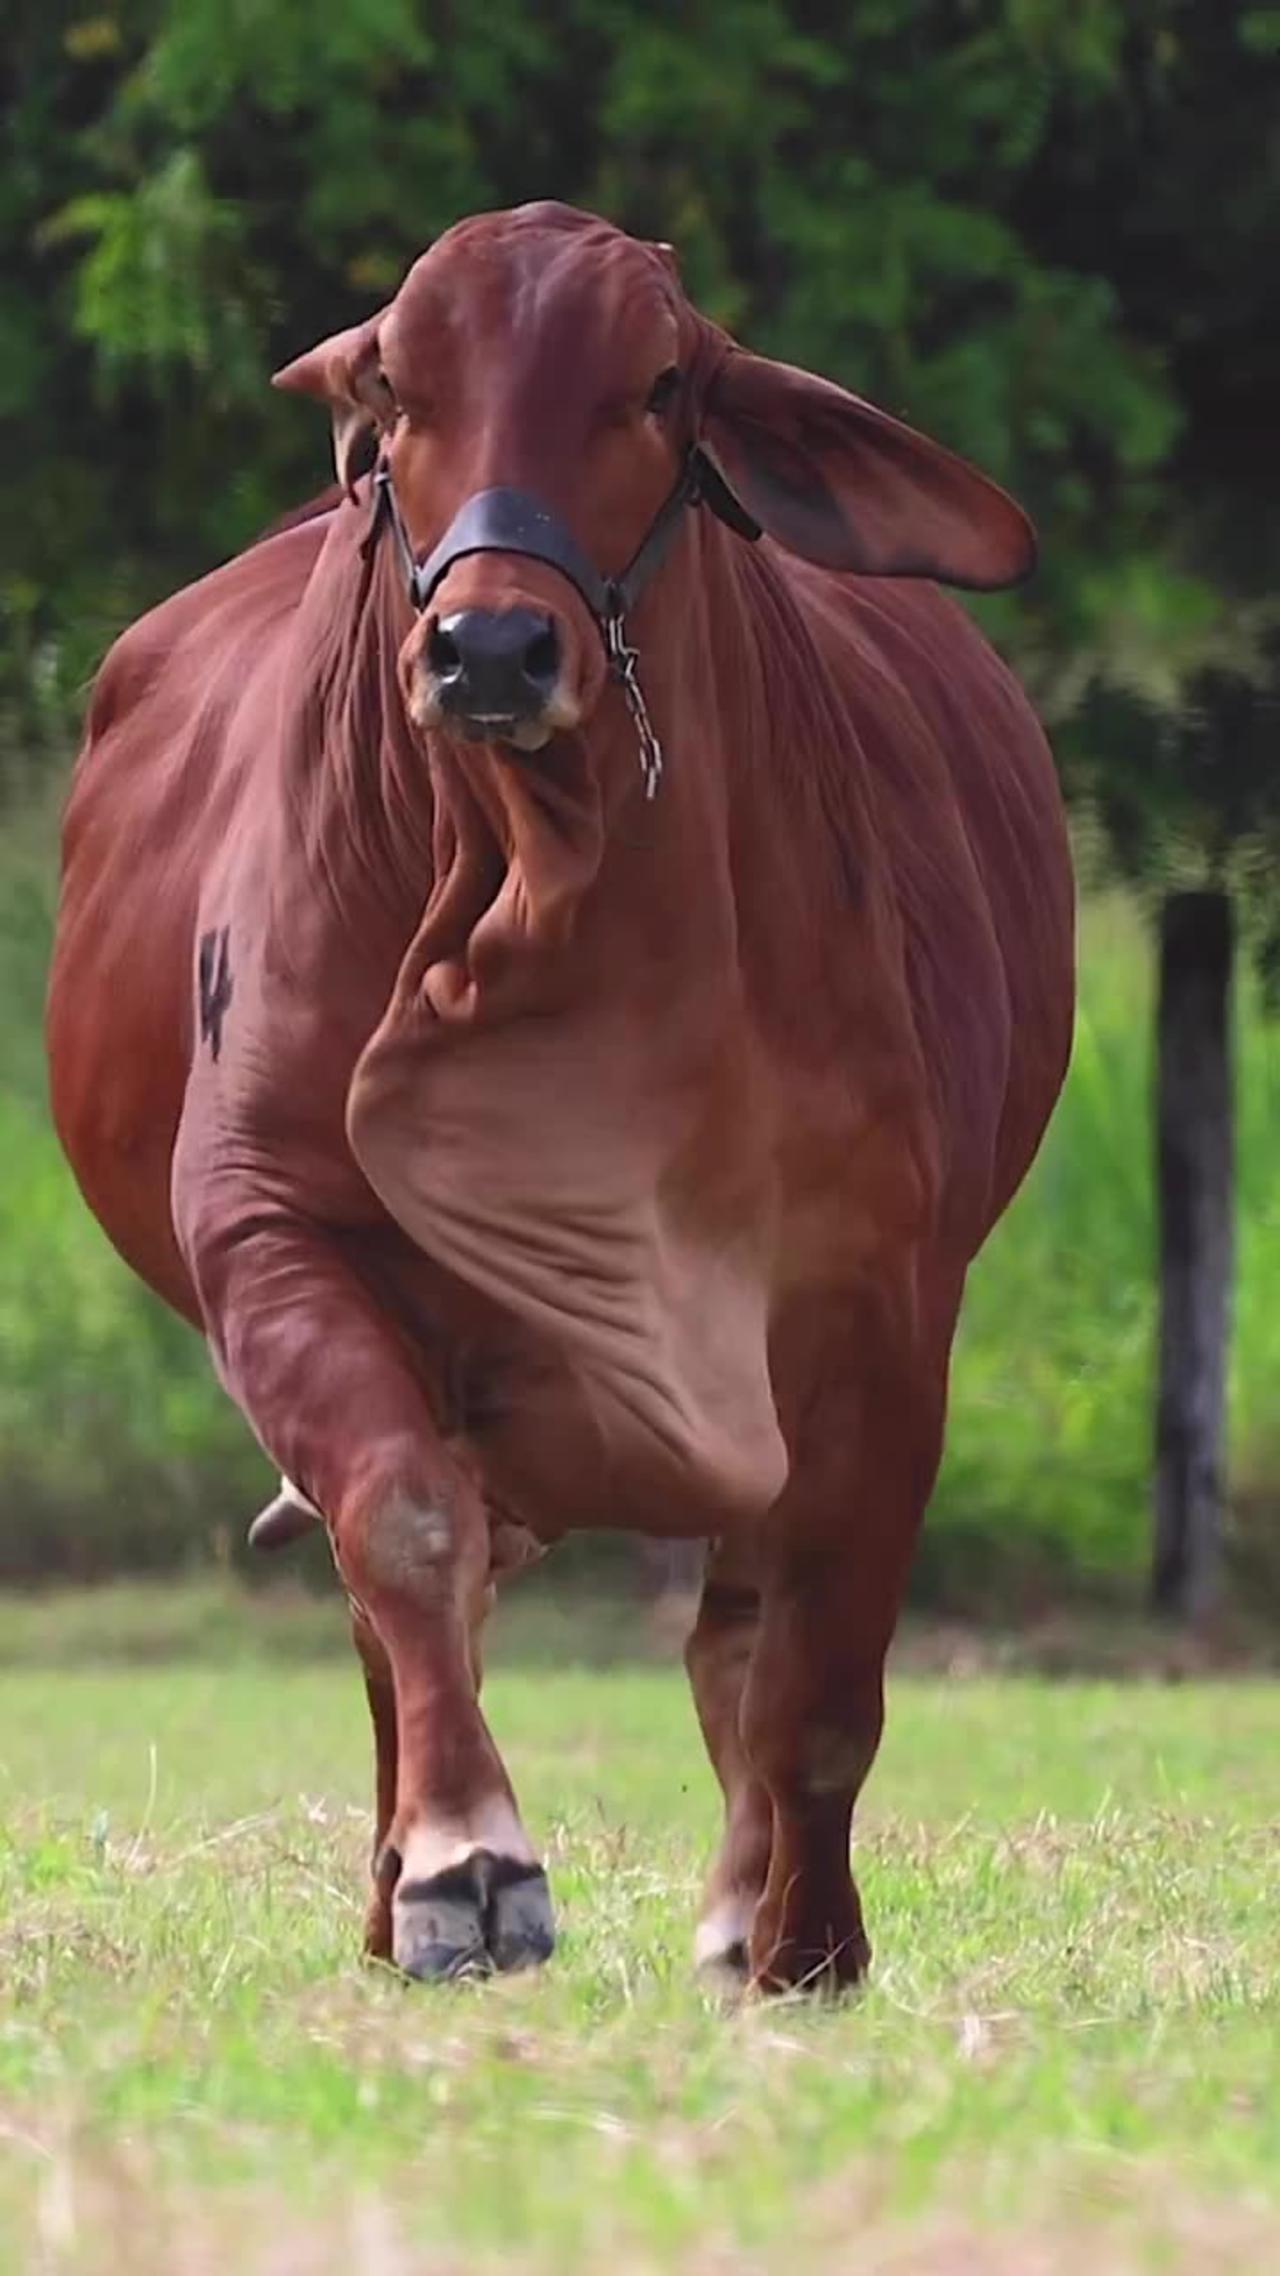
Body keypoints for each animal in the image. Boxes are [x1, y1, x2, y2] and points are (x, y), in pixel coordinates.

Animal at [47, 201, 1074, 1993]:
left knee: (739, 1638)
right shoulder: (265, 1226)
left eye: (661, 385)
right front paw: (465, 1862)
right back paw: (400, 1885)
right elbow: (404, 1529)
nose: (493, 647)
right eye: (393, 388)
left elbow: (808, 1666)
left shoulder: (874, 1299)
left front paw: (800, 1944)